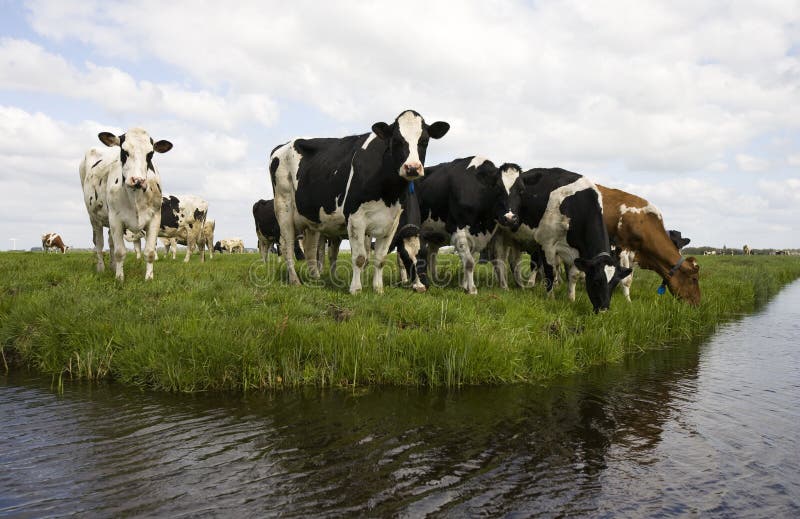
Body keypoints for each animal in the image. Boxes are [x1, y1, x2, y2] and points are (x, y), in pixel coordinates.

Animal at [79, 128, 172, 281]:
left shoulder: (155, 218)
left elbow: (150, 252)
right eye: (124, 151)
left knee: (110, 243)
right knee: (99, 244)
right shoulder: (115, 219)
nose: (138, 180)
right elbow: (120, 252)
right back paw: (101, 268)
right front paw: (119, 278)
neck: (135, 195)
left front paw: (149, 278)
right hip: (94, 218)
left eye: (150, 154)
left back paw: (112, 266)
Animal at [269, 109, 449, 294]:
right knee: (287, 246)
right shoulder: (356, 218)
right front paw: (356, 289)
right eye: (396, 141)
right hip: (283, 208)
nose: (412, 167)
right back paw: (295, 280)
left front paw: (378, 289)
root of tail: (283, 146)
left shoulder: (391, 224)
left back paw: (316, 279)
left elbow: (380, 258)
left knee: (311, 249)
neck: (388, 194)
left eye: (424, 141)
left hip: (312, 219)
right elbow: (360, 257)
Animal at [415, 158, 523, 294]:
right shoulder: (459, 230)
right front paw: (472, 290)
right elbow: (469, 262)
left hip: (433, 235)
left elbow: (473, 259)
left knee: (431, 255)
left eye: (521, 190)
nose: (510, 218)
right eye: (498, 189)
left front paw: (465, 286)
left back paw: (435, 281)